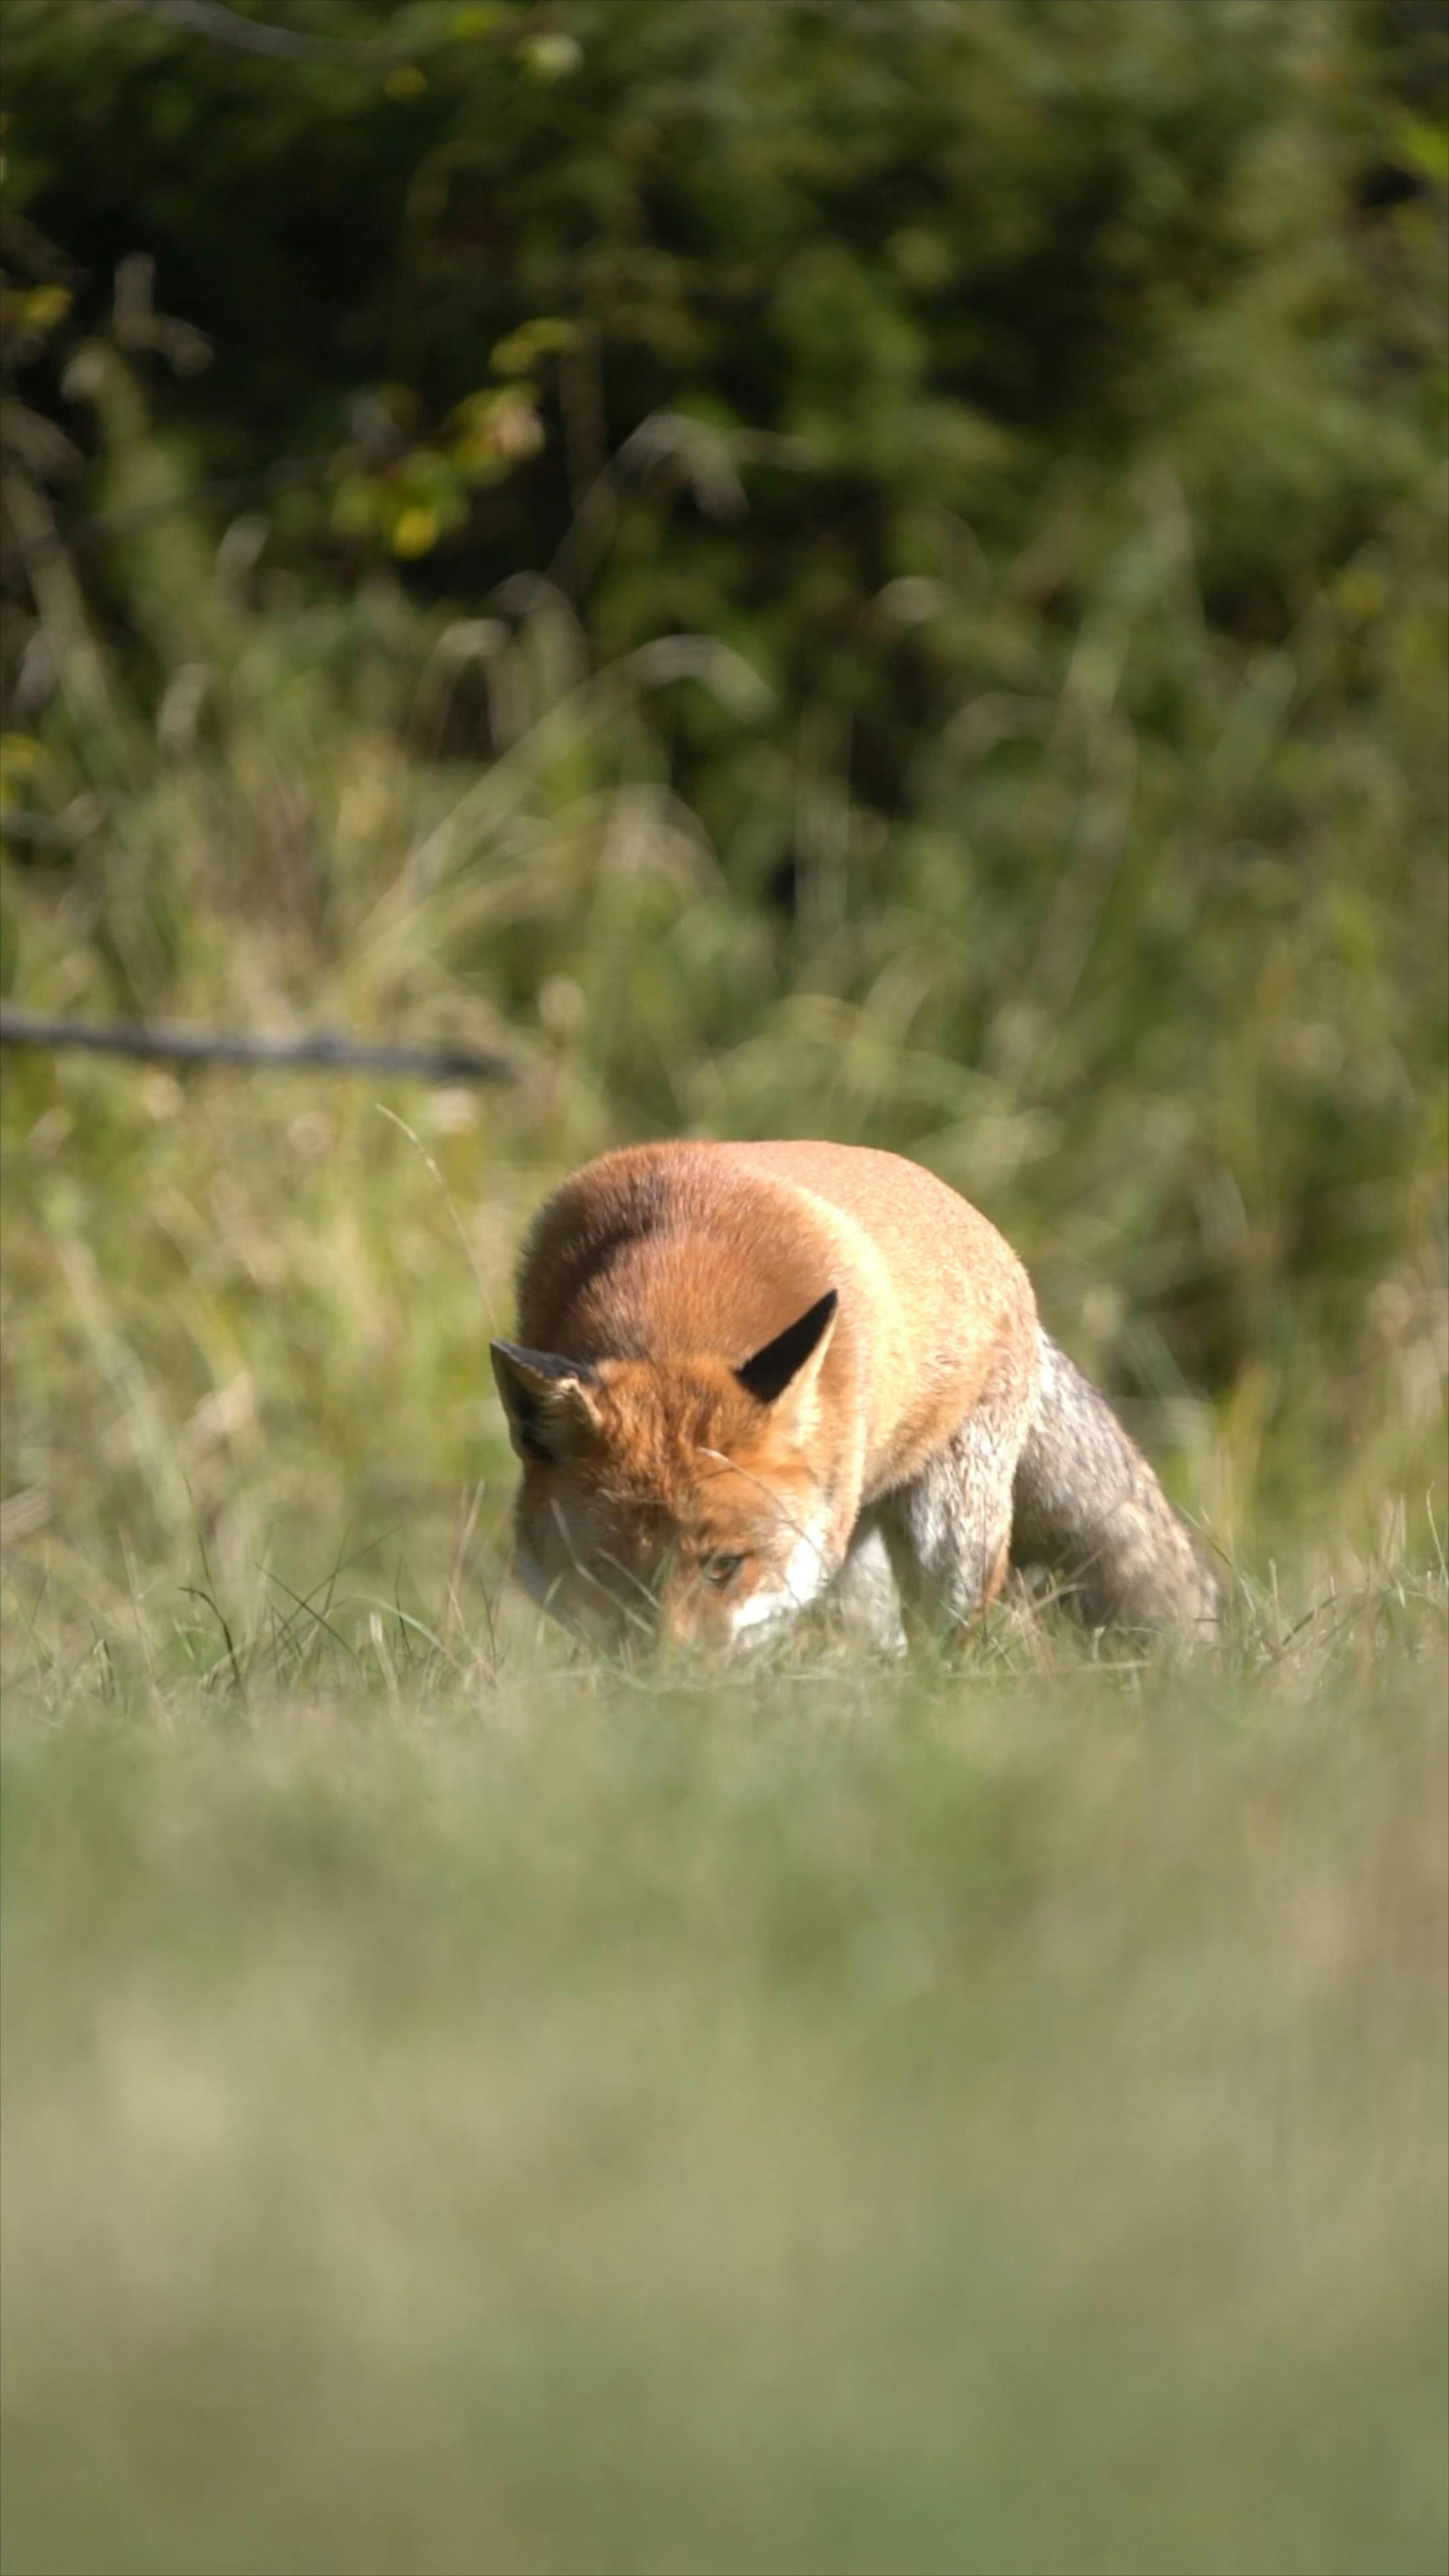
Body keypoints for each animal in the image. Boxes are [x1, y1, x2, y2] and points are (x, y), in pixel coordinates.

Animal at [491, 1140, 1220, 1653]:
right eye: (605, 1569)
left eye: (725, 1566)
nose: (669, 1684)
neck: (678, 1272)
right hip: (861, 1561)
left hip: (946, 1539)